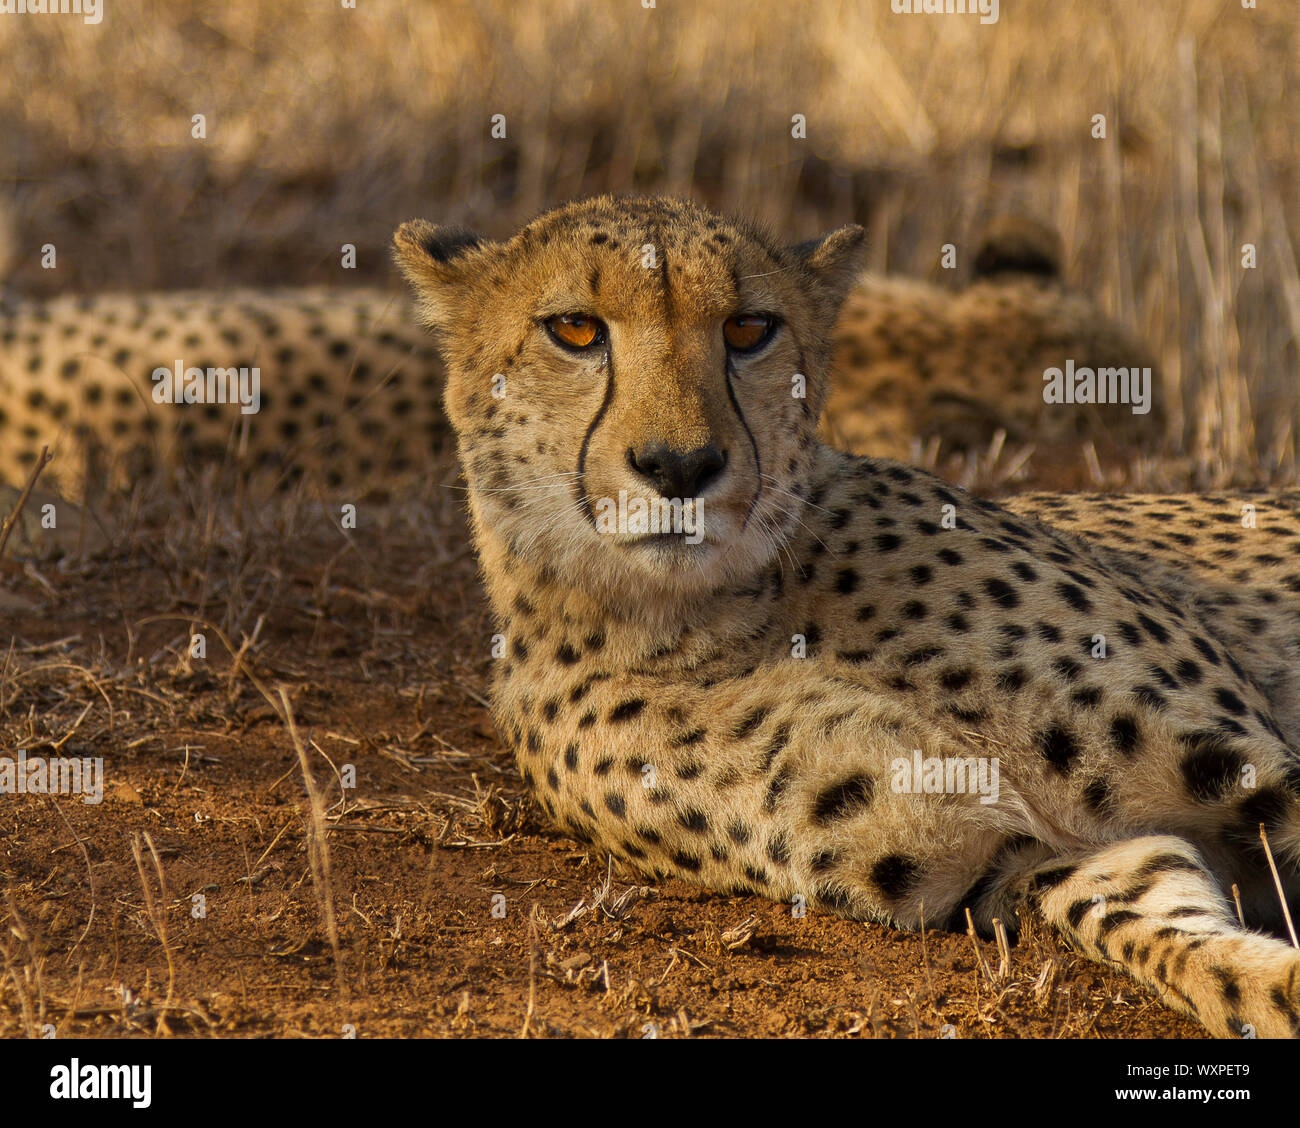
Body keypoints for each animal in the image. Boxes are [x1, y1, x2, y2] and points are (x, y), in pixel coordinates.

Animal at [392, 193, 1300, 1039]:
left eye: (749, 328)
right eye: (574, 329)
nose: (680, 466)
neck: (725, 616)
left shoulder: (1241, 764)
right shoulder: (1037, 856)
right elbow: (1177, 938)